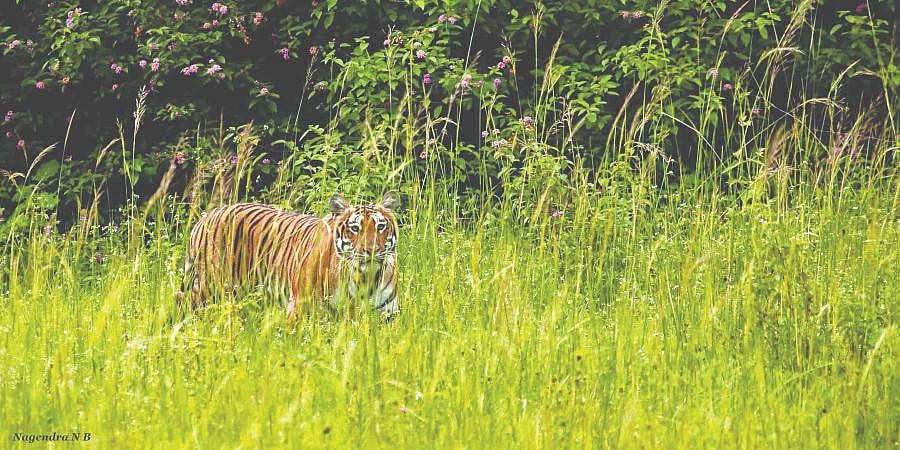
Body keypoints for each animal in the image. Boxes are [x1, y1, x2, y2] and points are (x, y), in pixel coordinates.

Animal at [181, 192, 401, 318]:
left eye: (380, 226)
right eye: (355, 228)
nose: (371, 250)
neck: (365, 277)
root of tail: (206, 217)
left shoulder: (388, 313)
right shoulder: (299, 306)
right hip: (208, 289)